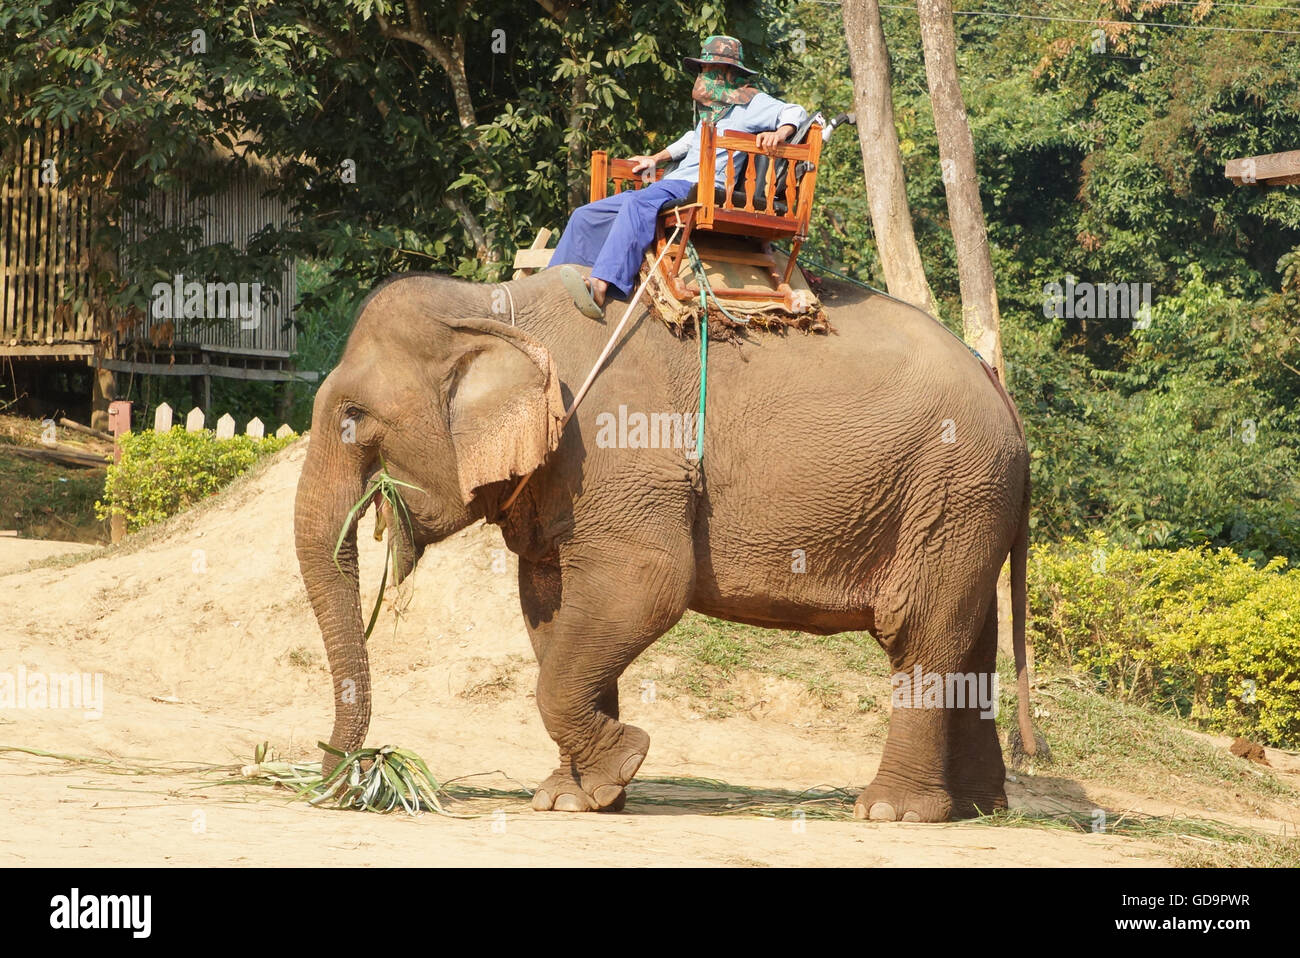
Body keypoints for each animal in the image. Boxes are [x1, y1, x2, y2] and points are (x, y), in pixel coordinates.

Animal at [293, 266, 1038, 822]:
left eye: (355, 418)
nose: (342, 783)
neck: (492, 306)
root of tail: (1004, 394)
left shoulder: (620, 451)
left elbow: (646, 585)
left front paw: (626, 760)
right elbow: (549, 608)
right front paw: (577, 798)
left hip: (948, 489)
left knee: (920, 630)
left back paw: (892, 812)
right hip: (968, 505)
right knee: (969, 636)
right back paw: (976, 811)